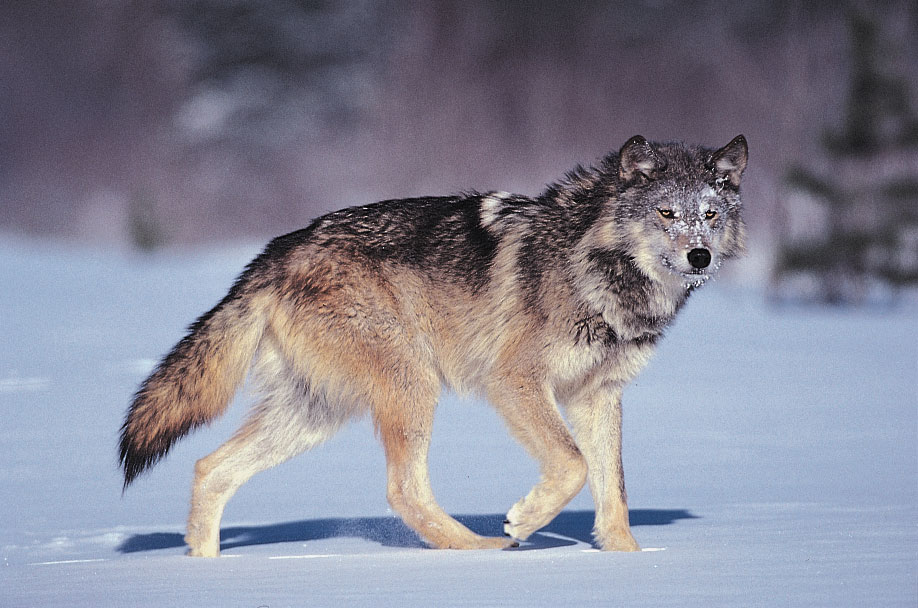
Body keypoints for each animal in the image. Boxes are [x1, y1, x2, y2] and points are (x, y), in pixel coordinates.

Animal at [118, 135, 748, 560]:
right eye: (666, 214)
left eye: (709, 216)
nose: (699, 256)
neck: (598, 270)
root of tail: (278, 250)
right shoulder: (514, 381)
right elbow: (572, 465)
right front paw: (523, 523)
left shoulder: (599, 394)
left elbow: (611, 486)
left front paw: (627, 561)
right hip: (411, 383)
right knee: (402, 490)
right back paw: (482, 549)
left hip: (315, 413)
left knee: (209, 467)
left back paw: (204, 569)